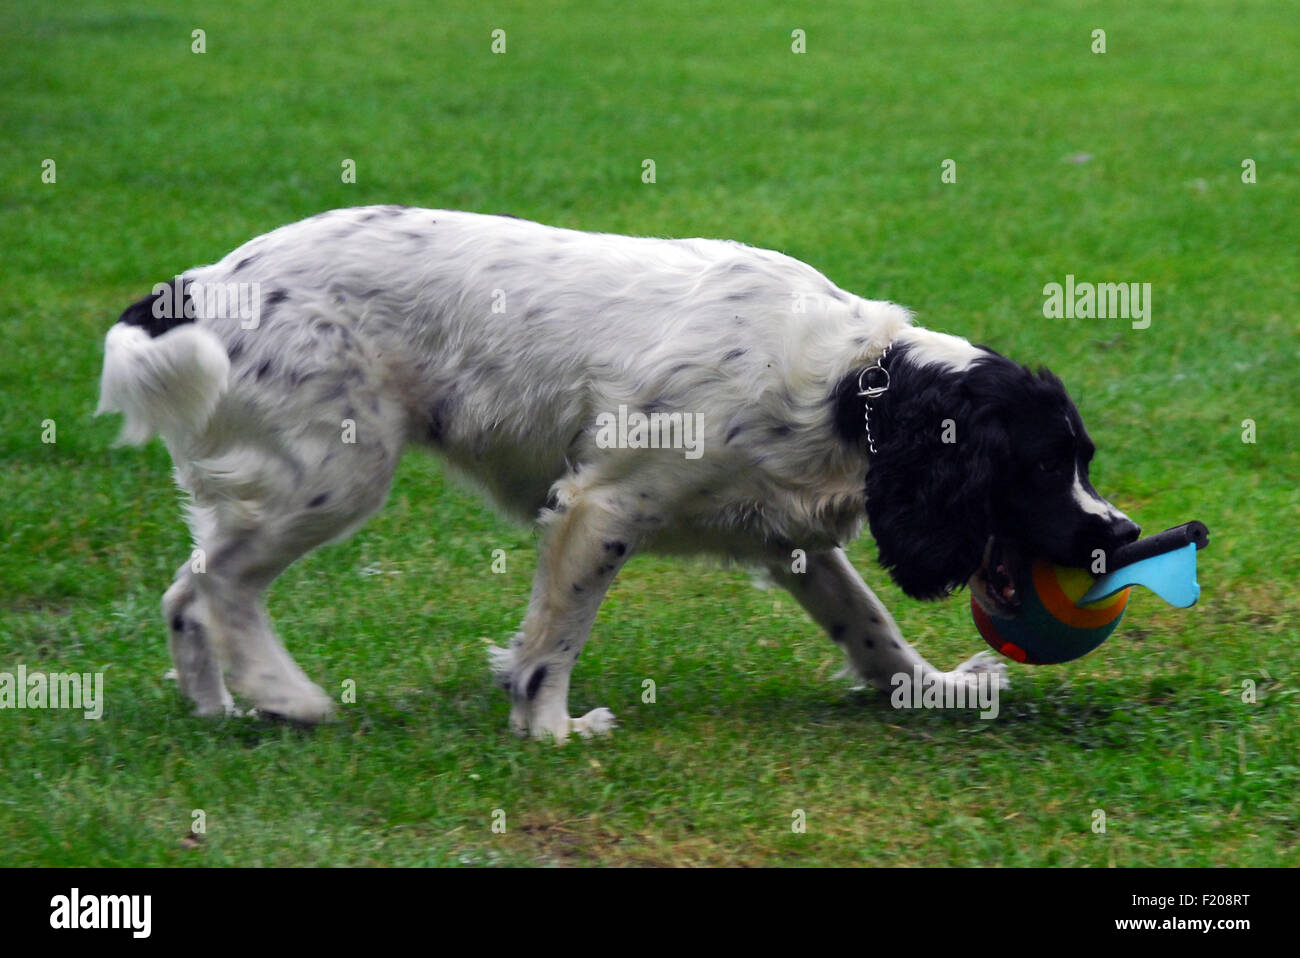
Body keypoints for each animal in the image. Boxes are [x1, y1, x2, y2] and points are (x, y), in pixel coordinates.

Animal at [98, 205, 1138, 738]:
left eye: (1080, 459)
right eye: (1044, 465)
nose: (1123, 533)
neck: (849, 386)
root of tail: (202, 282)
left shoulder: (785, 537)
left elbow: (869, 624)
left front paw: (932, 688)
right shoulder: (599, 509)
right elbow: (553, 643)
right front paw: (553, 730)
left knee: (187, 589)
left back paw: (215, 706)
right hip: (340, 469)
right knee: (226, 585)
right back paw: (286, 695)